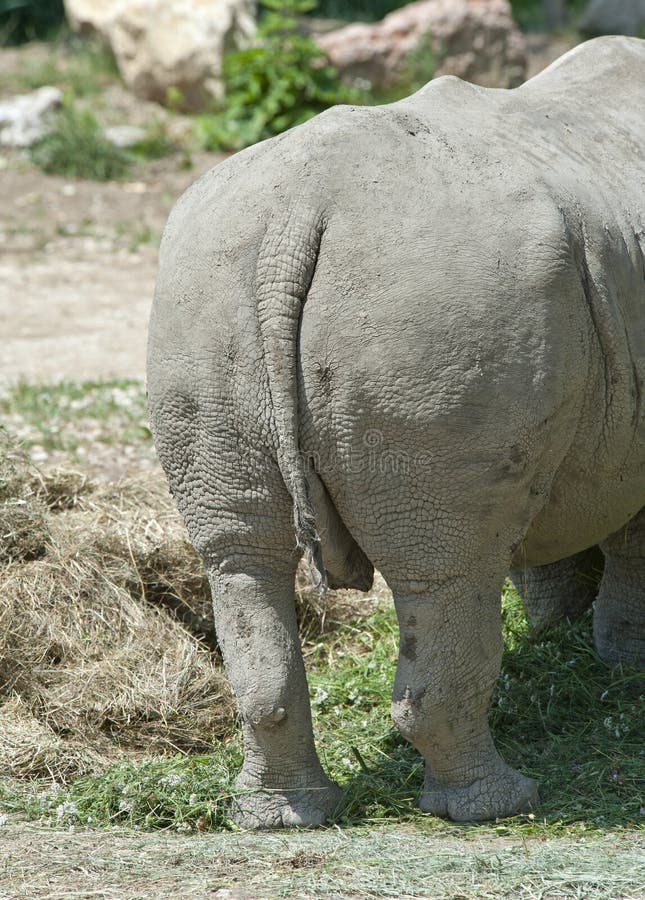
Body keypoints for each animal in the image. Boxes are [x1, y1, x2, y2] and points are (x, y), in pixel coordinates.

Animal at [147, 36, 645, 828]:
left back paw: (283, 815)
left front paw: (565, 637)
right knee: (447, 569)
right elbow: (624, 544)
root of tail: (295, 215)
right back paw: (500, 804)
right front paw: (622, 661)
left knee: (240, 559)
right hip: (440, 294)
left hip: (207, 288)